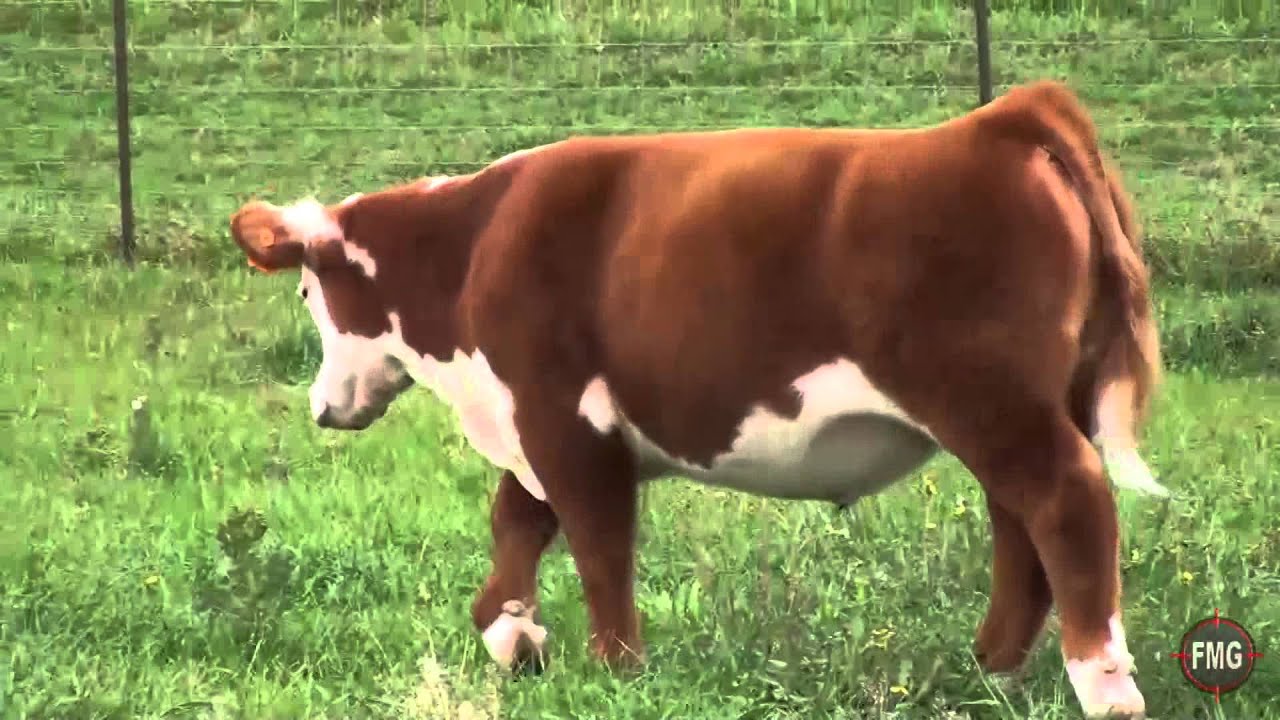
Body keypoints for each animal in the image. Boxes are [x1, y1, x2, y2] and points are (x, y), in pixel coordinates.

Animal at [228, 80, 1168, 719]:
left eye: (308, 294)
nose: (322, 407)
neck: (473, 246)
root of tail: (995, 121)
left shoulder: (563, 422)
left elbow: (596, 545)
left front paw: (616, 667)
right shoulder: (540, 428)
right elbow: (516, 521)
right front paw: (511, 633)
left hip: (990, 401)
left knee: (1064, 503)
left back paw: (1102, 684)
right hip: (1026, 404)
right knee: (1022, 524)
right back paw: (994, 671)